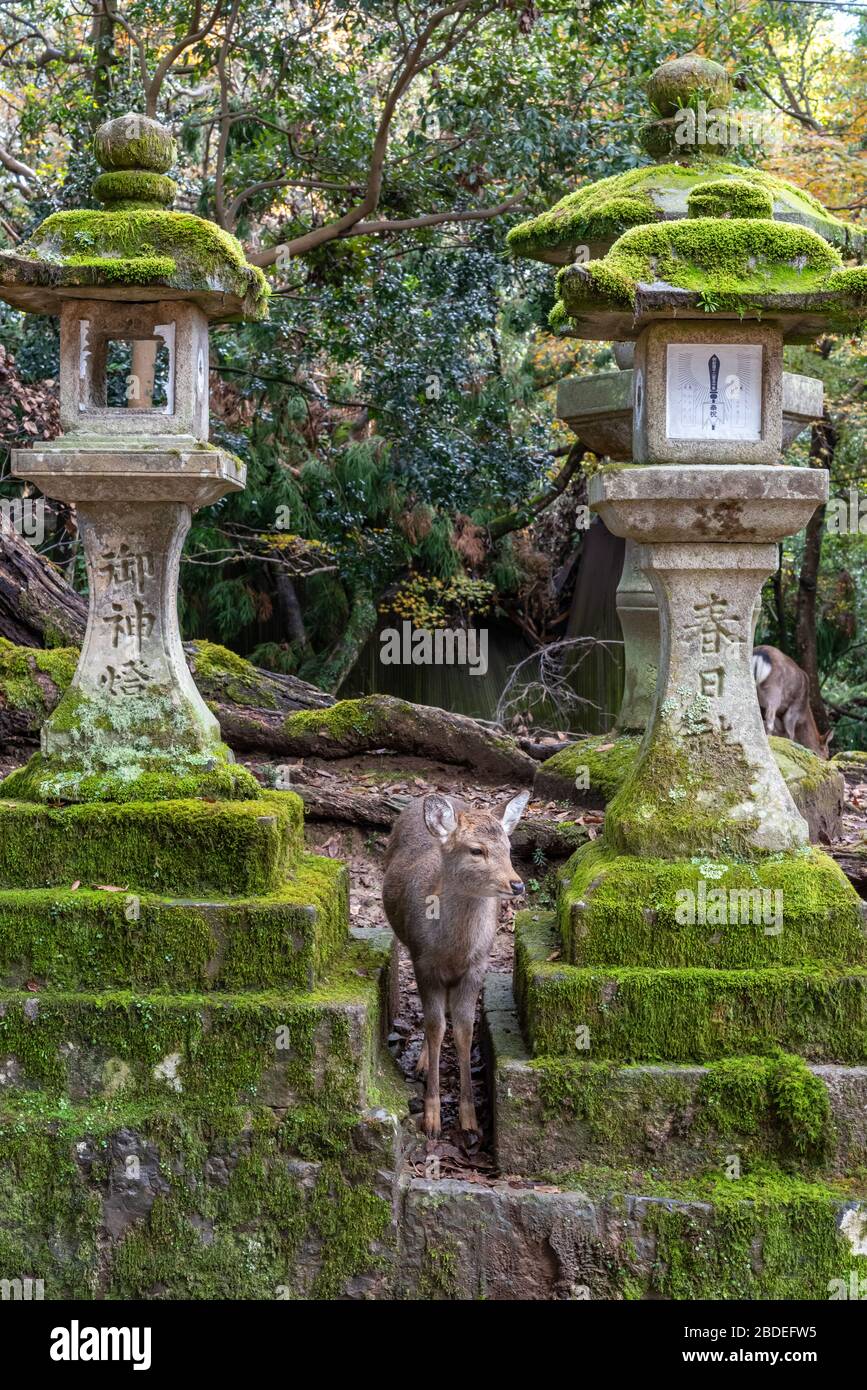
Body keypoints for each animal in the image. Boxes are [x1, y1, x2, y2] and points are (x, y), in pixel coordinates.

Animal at [382, 790, 529, 1138]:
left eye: (509, 847)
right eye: (476, 850)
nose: (517, 884)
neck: (453, 951)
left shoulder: (477, 968)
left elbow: (464, 1029)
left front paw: (470, 1119)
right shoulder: (424, 963)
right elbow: (437, 1027)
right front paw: (432, 1117)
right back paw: (423, 1063)